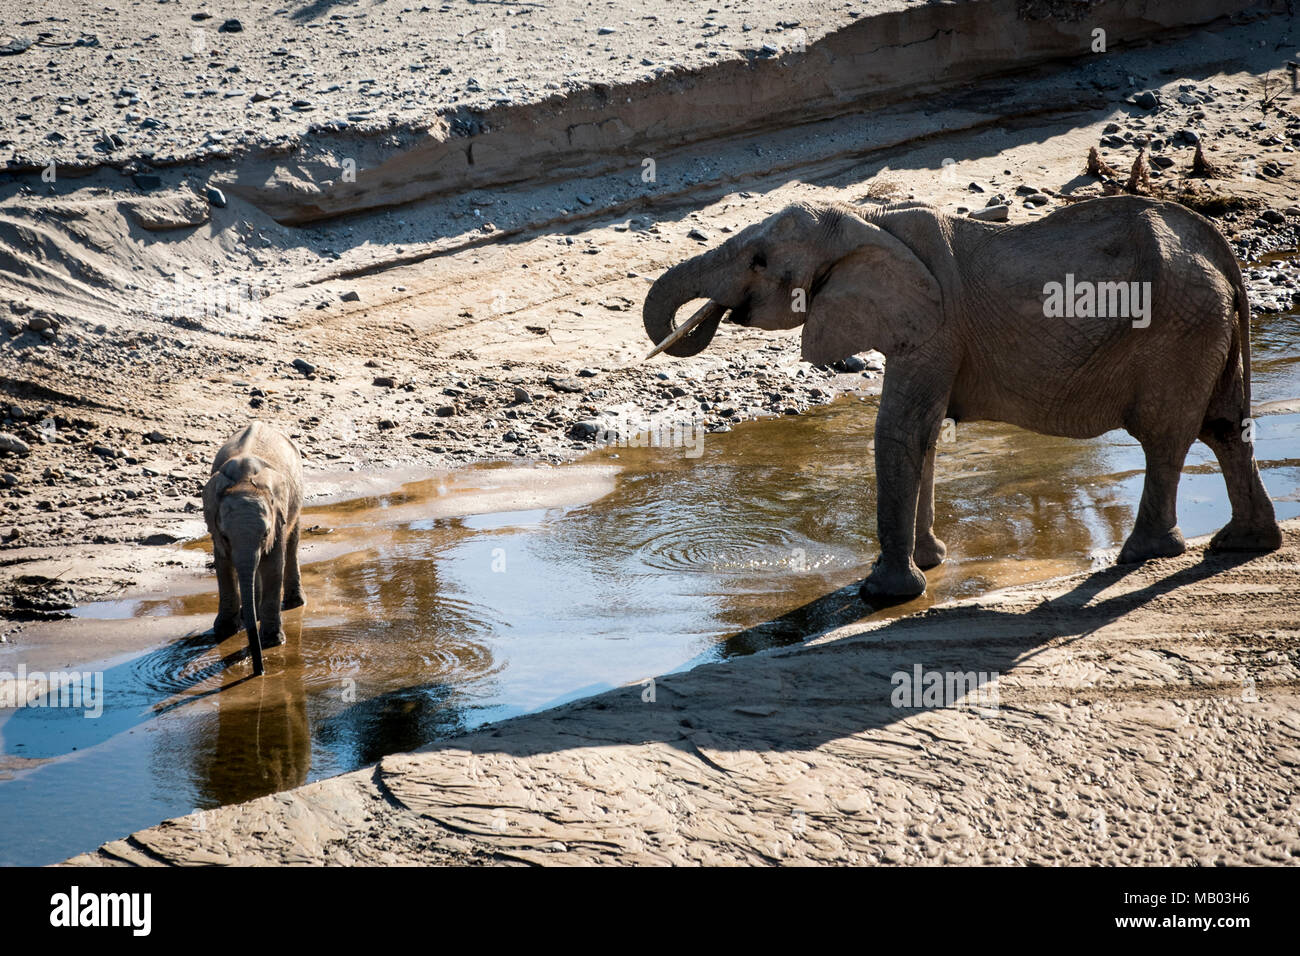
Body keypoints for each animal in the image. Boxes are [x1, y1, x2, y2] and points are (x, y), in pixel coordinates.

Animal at [202, 422, 304, 675]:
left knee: (292, 542)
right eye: (226, 536)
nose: (260, 671)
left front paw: (273, 642)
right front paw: (224, 631)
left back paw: (294, 604)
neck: (243, 480)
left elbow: (273, 565)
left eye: (265, 534)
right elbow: (223, 565)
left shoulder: (278, 515)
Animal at [642, 195, 1282, 601]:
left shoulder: (935, 325)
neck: (866, 221)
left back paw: (1145, 555)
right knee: (1225, 428)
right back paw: (1242, 543)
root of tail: (1223, 253)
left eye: (759, 262)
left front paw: (882, 594)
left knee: (1167, 435)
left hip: (1179, 328)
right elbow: (922, 432)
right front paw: (930, 563)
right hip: (1204, 324)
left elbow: (900, 429)